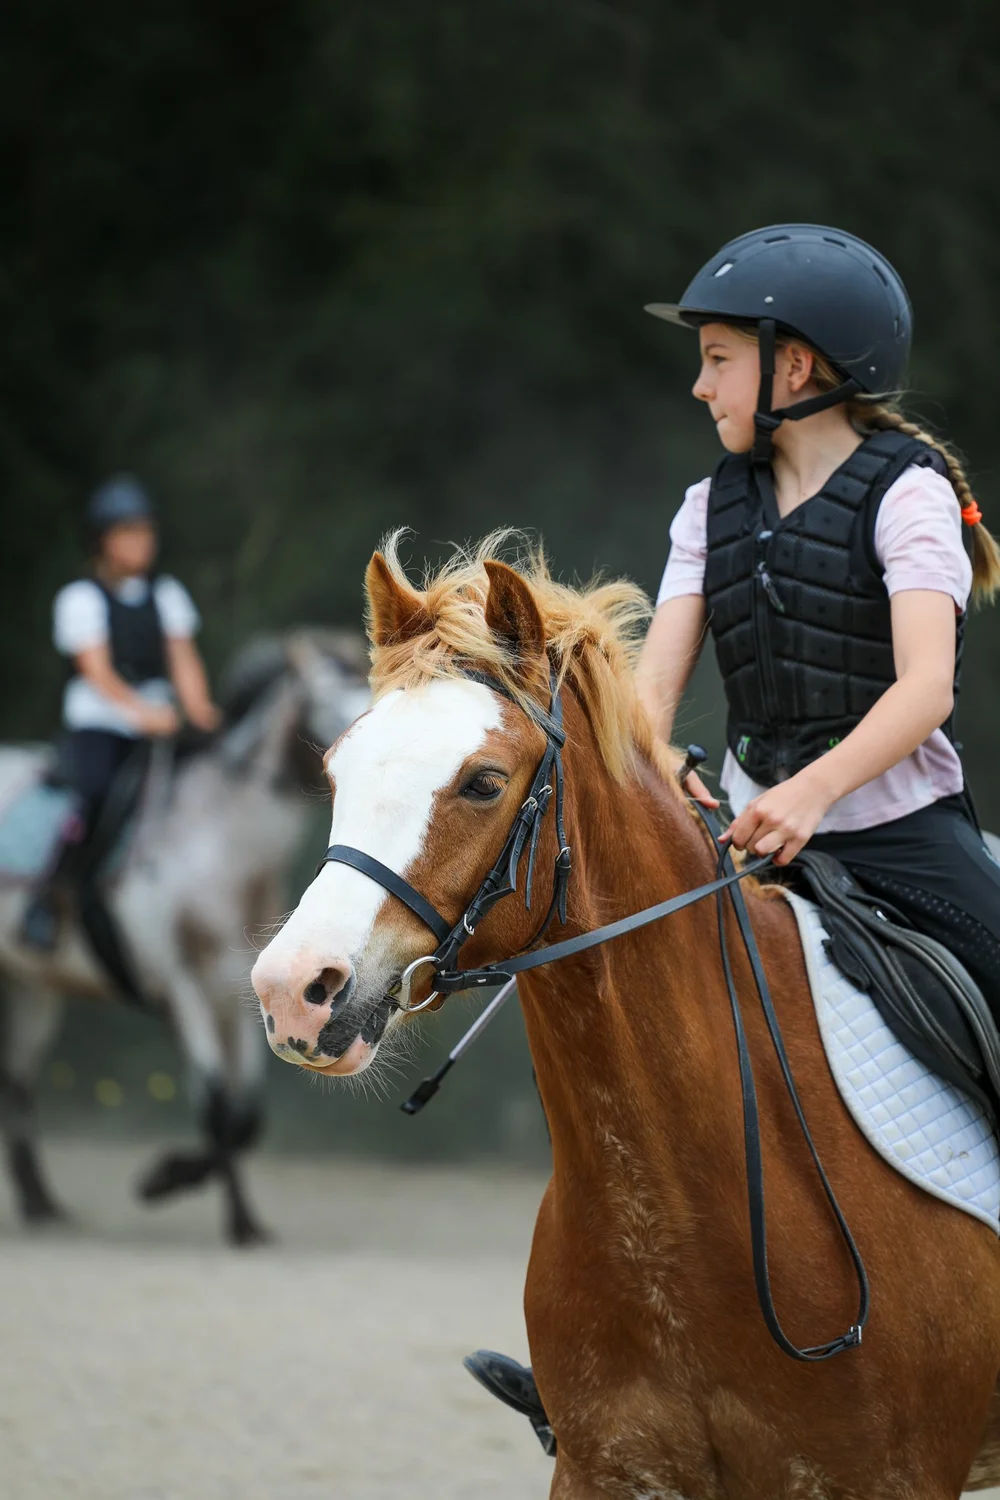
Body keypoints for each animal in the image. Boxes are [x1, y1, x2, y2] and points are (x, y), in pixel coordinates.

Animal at [0, 629, 369, 1245]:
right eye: (330, 700)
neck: (218, 852)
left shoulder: (246, 998)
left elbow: (245, 1116)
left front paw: (242, 1223)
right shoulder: (184, 991)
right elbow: (217, 1106)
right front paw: (163, 1182)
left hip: (34, 984)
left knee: (19, 1080)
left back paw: (40, 1205)